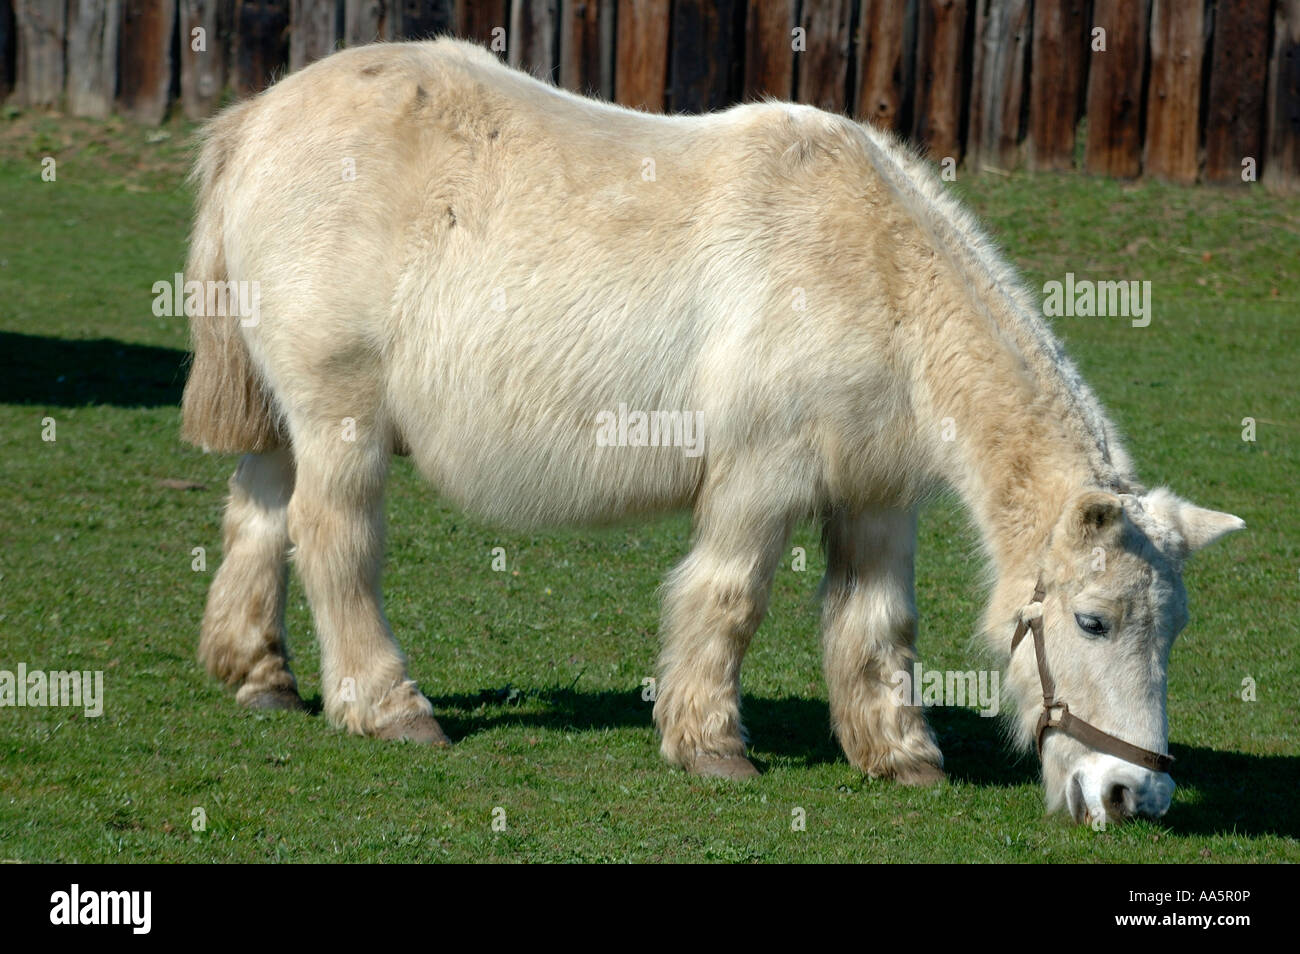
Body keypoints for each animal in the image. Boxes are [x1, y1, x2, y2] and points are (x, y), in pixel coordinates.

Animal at [180, 38, 1244, 825]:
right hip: (341, 420)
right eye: (1092, 621)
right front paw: (711, 745)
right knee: (333, 543)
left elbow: (876, 625)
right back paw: (388, 707)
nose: (1136, 794)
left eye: (1176, 627)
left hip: (284, 424)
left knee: (258, 519)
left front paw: (899, 753)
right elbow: (729, 599)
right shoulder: (761, 476)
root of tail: (258, 117)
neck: (879, 272)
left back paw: (259, 677)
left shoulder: (876, 496)